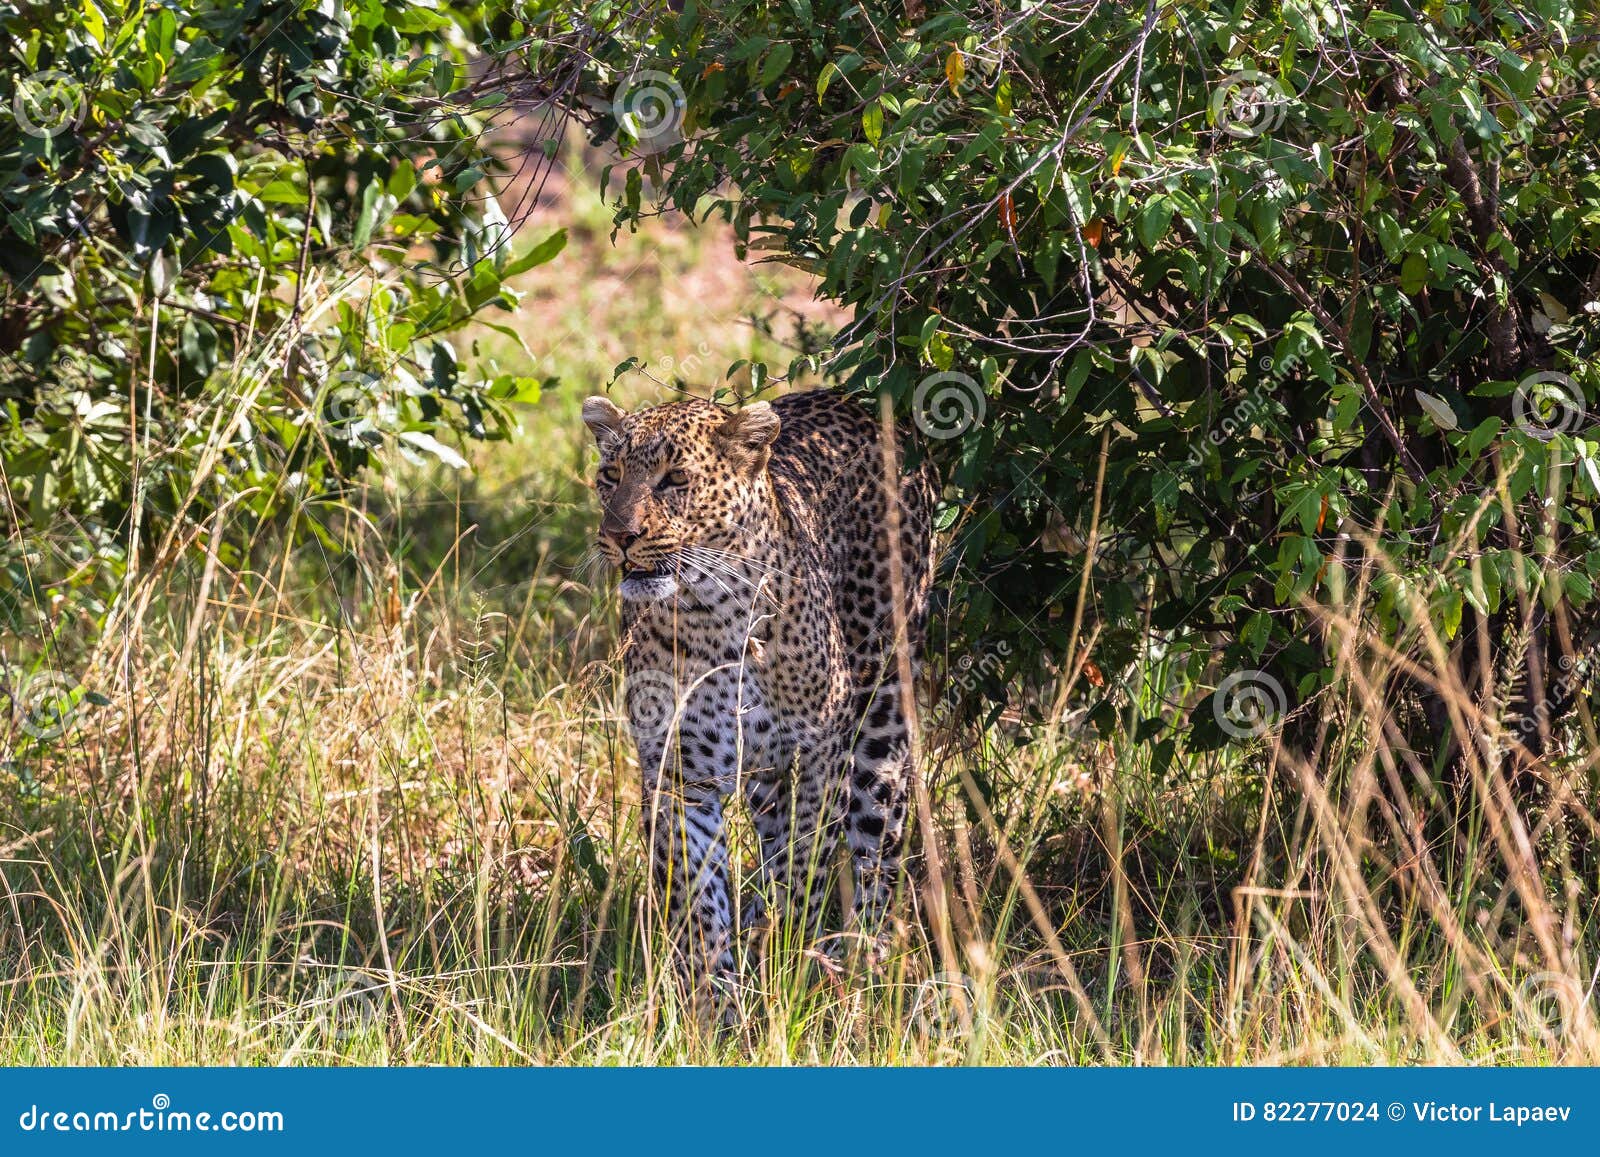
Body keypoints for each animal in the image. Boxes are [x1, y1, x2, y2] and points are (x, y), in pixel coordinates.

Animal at [582, 388, 936, 1013]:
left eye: (675, 479)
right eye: (610, 475)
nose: (620, 537)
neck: (710, 612)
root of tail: (854, 398)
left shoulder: (818, 757)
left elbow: (807, 867)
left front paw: (790, 972)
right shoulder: (681, 775)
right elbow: (700, 902)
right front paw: (717, 1008)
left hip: (883, 714)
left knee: (878, 847)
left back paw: (865, 965)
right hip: (766, 774)